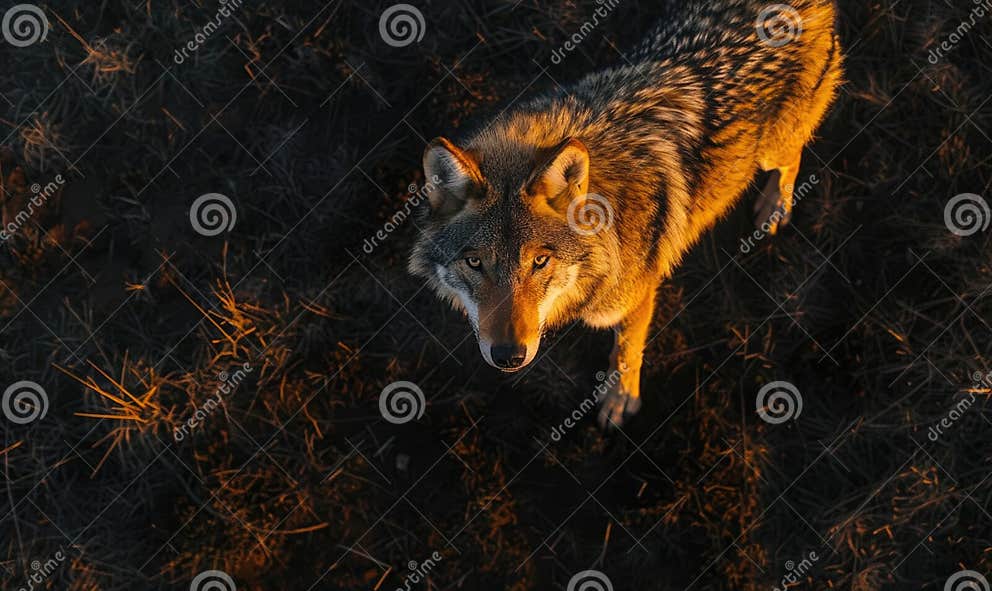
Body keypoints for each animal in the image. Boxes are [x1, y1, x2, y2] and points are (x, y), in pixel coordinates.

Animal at [408, 0, 843, 428]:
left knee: (793, 157)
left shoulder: (637, 299)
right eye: (475, 262)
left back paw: (774, 207)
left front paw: (620, 401)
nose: (509, 356)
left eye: (540, 261)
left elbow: (625, 353)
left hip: (771, 148)